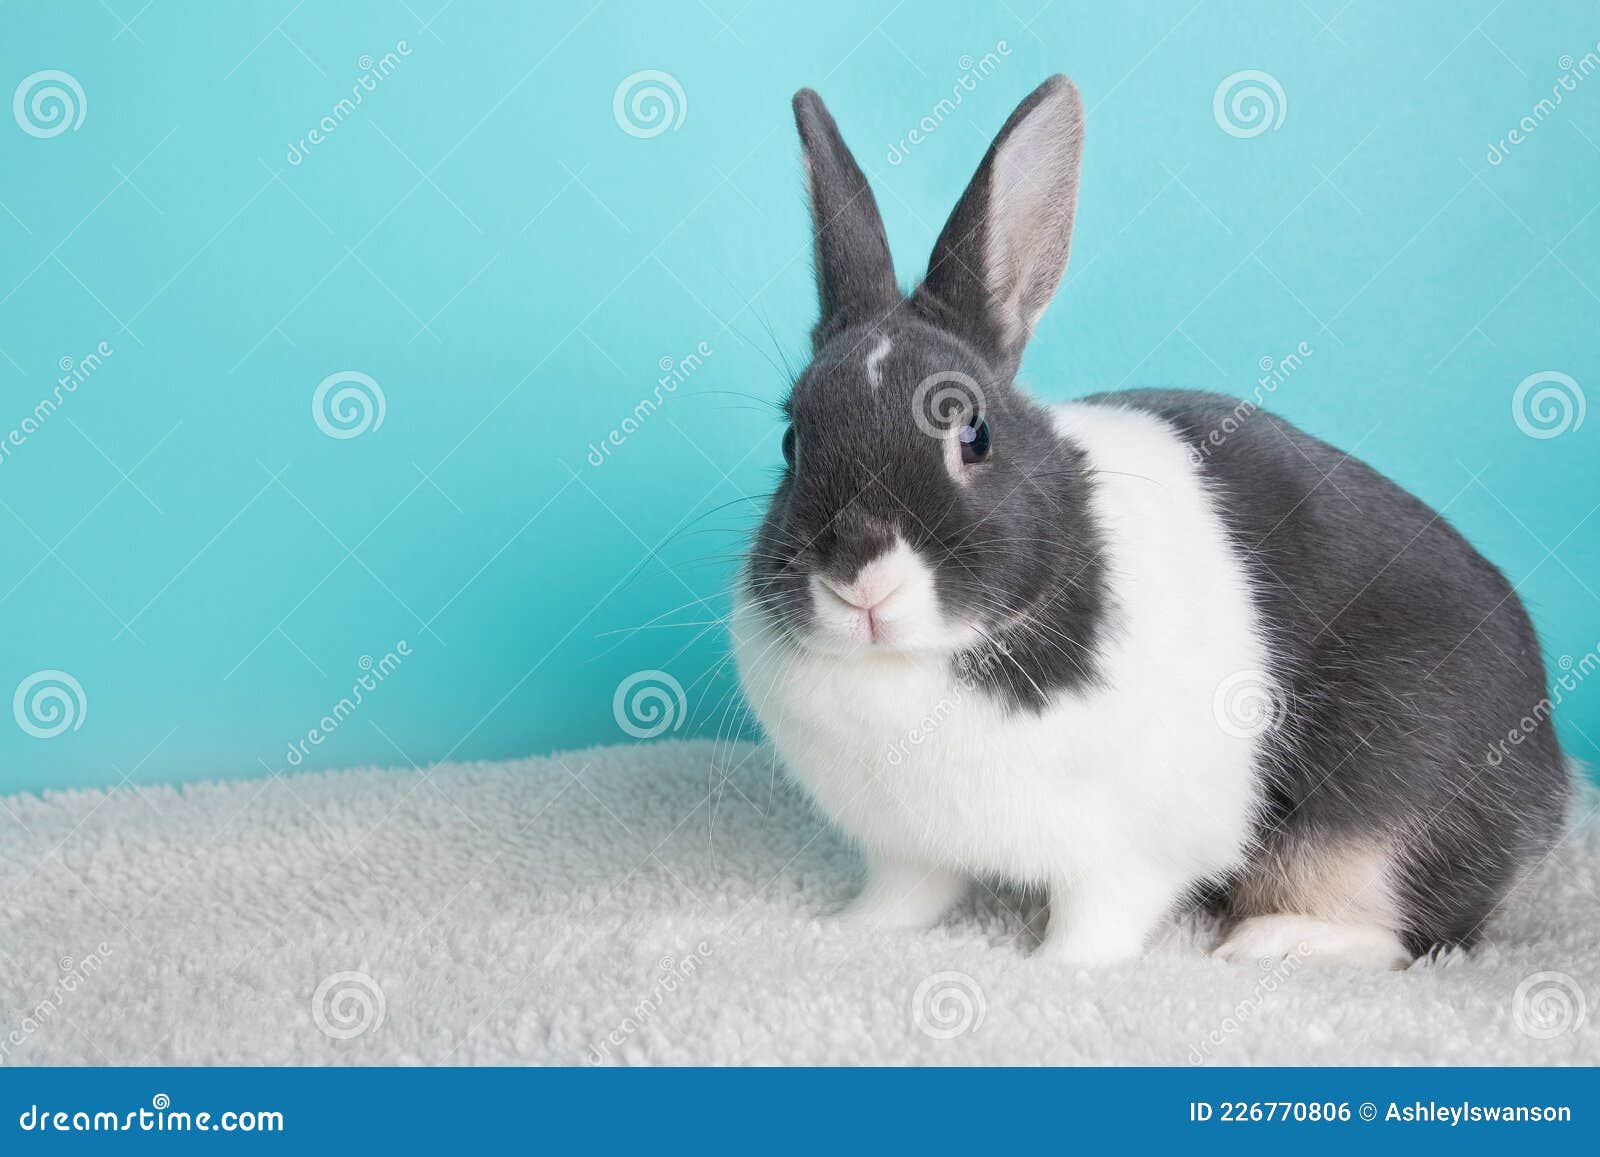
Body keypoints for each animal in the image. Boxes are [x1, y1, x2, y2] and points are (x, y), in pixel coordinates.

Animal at [732, 75, 1569, 968]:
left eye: (974, 434)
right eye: (792, 440)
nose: (860, 582)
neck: (919, 660)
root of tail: (1549, 777)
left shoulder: (1126, 860)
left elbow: (1095, 922)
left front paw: (1055, 969)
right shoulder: (907, 851)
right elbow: (906, 896)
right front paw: (847, 930)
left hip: (1376, 828)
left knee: (1403, 934)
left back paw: (1269, 943)